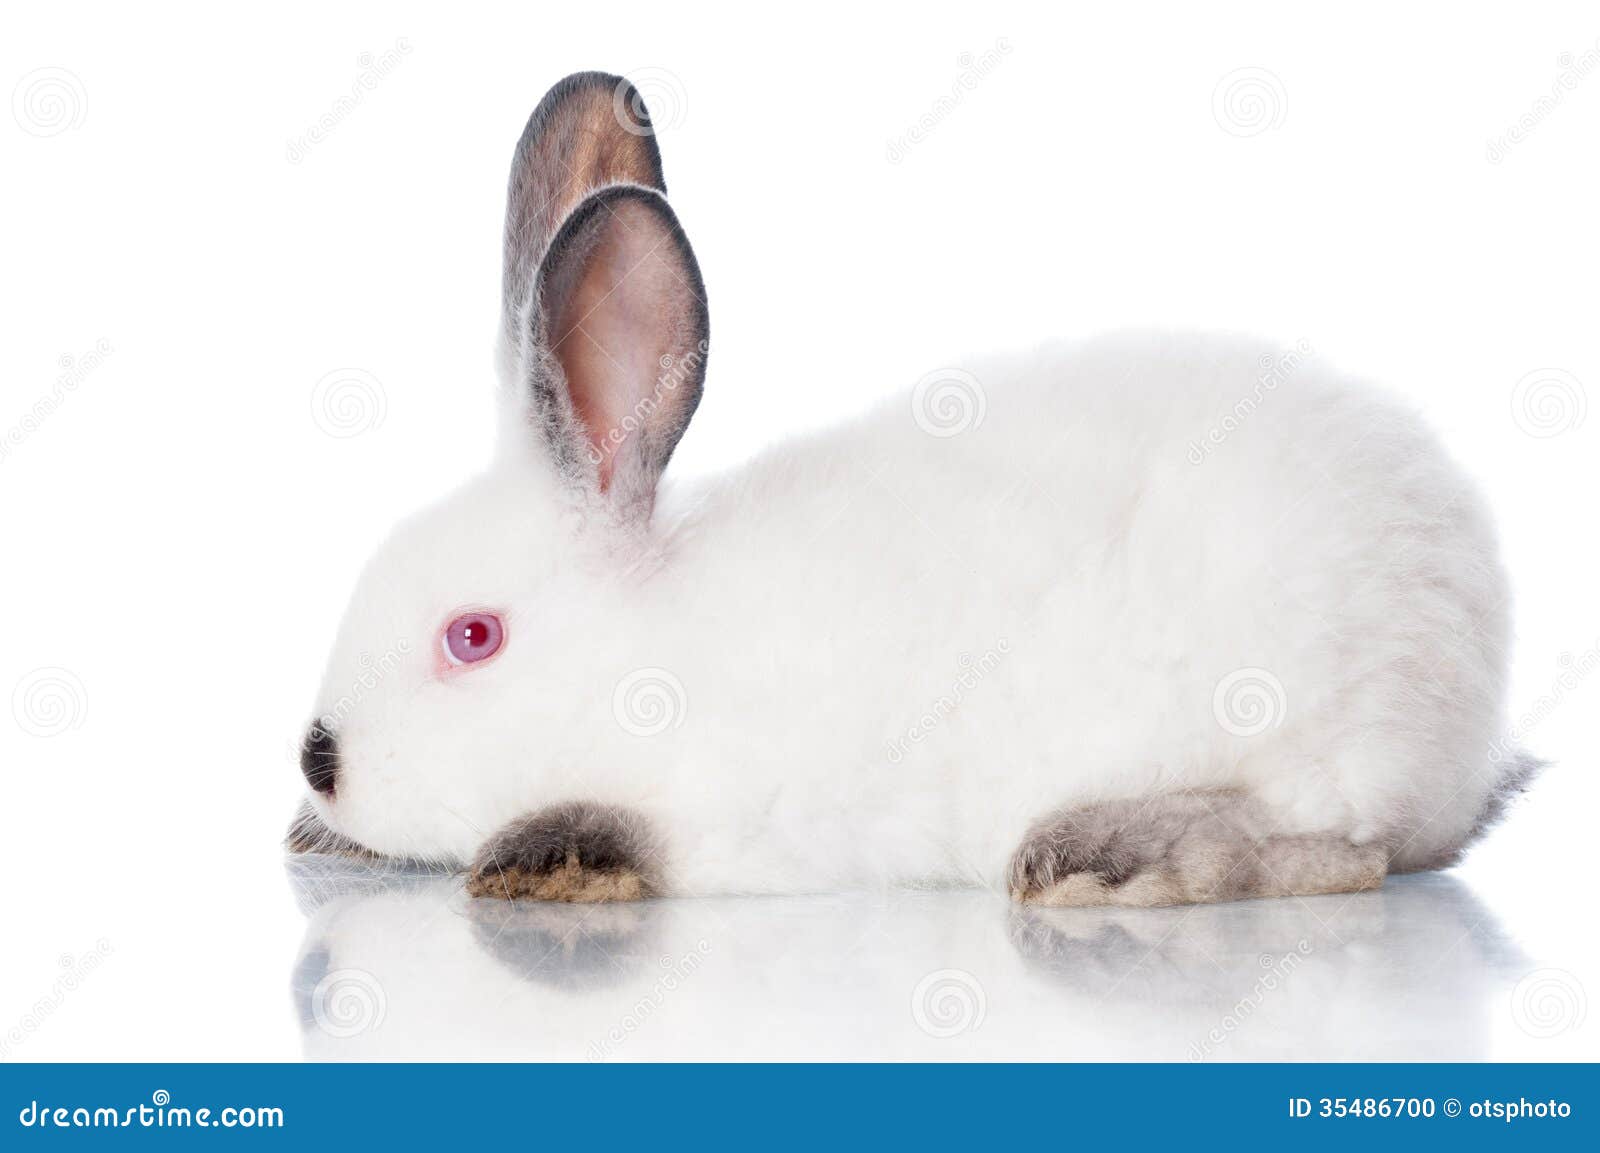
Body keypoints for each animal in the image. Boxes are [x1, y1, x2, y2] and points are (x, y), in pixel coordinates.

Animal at [288, 71, 1536, 906]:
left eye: (473, 637)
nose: (319, 764)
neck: (637, 660)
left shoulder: (743, 813)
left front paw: (546, 856)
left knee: (1344, 851)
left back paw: (1101, 858)